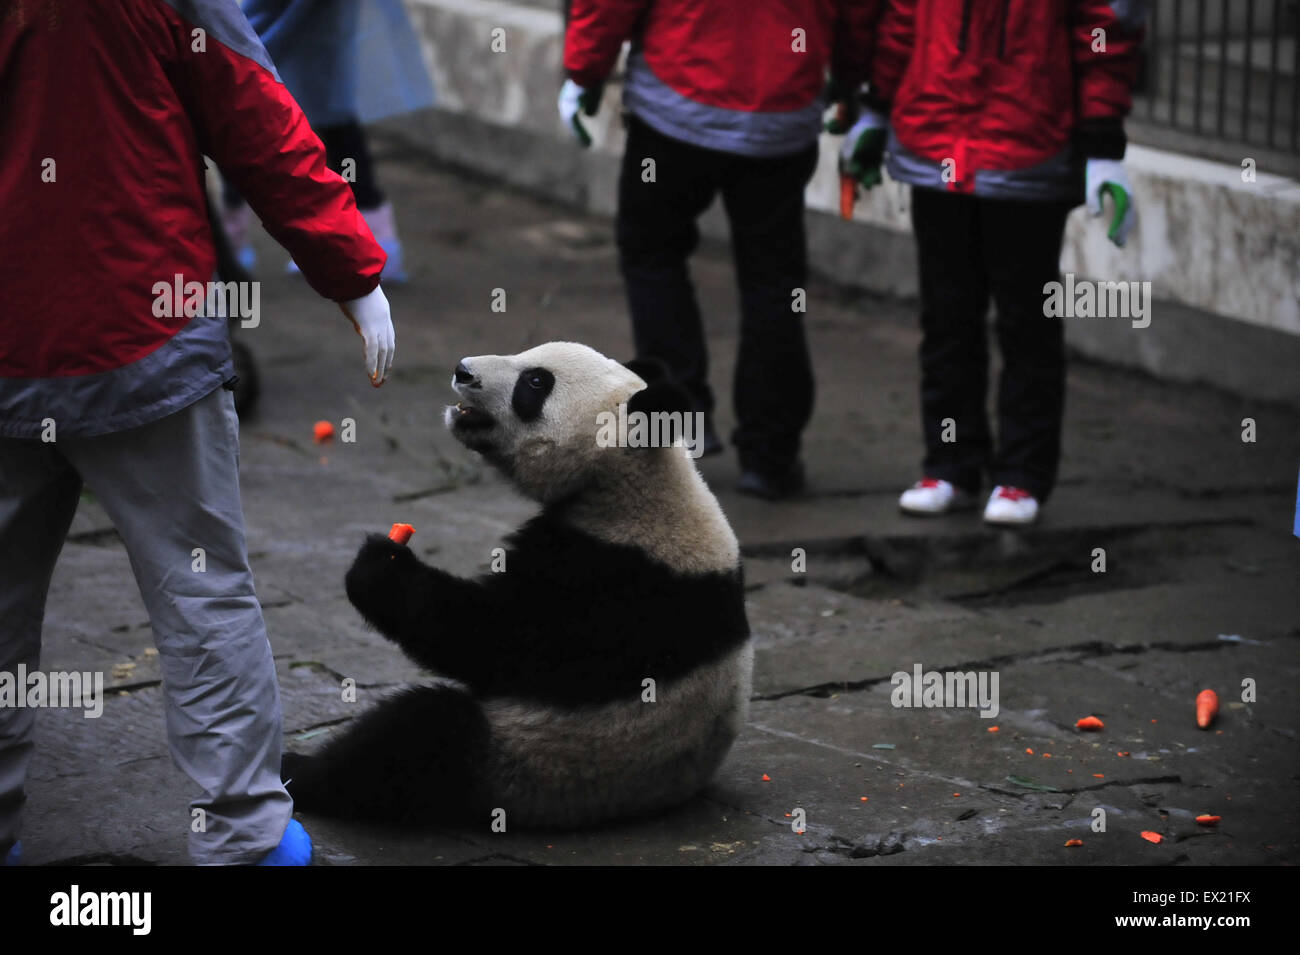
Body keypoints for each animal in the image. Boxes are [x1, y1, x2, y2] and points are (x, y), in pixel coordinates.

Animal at [282, 342, 753, 828]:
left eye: (535, 382)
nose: (462, 370)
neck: (637, 483)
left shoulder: (619, 584)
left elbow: (495, 640)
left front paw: (381, 568)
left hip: (530, 761)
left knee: (419, 738)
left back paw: (300, 773)